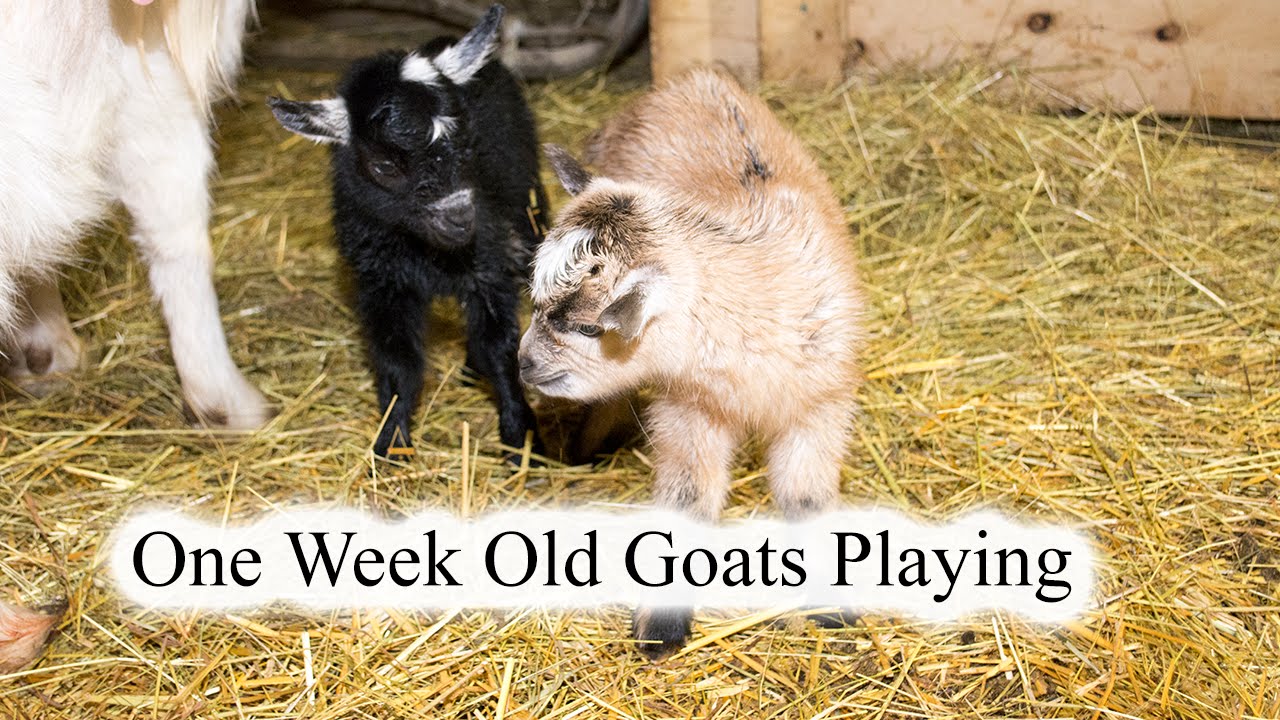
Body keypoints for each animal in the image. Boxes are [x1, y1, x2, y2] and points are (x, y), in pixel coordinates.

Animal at [269, 5, 546, 459]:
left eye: (469, 143)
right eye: (384, 166)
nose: (460, 219)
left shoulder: (486, 267)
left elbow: (499, 347)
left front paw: (521, 439)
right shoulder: (382, 284)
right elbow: (397, 361)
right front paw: (391, 442)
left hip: (525, 199)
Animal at [519, 70, 866, 657]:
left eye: (589, 327)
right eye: (537, 301)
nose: (522, 363)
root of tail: (690, 81)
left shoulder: (819, 408)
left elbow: (807, 497)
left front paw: (835, 608)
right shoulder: (689, 408)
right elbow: (687, 501)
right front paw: (660, 626)